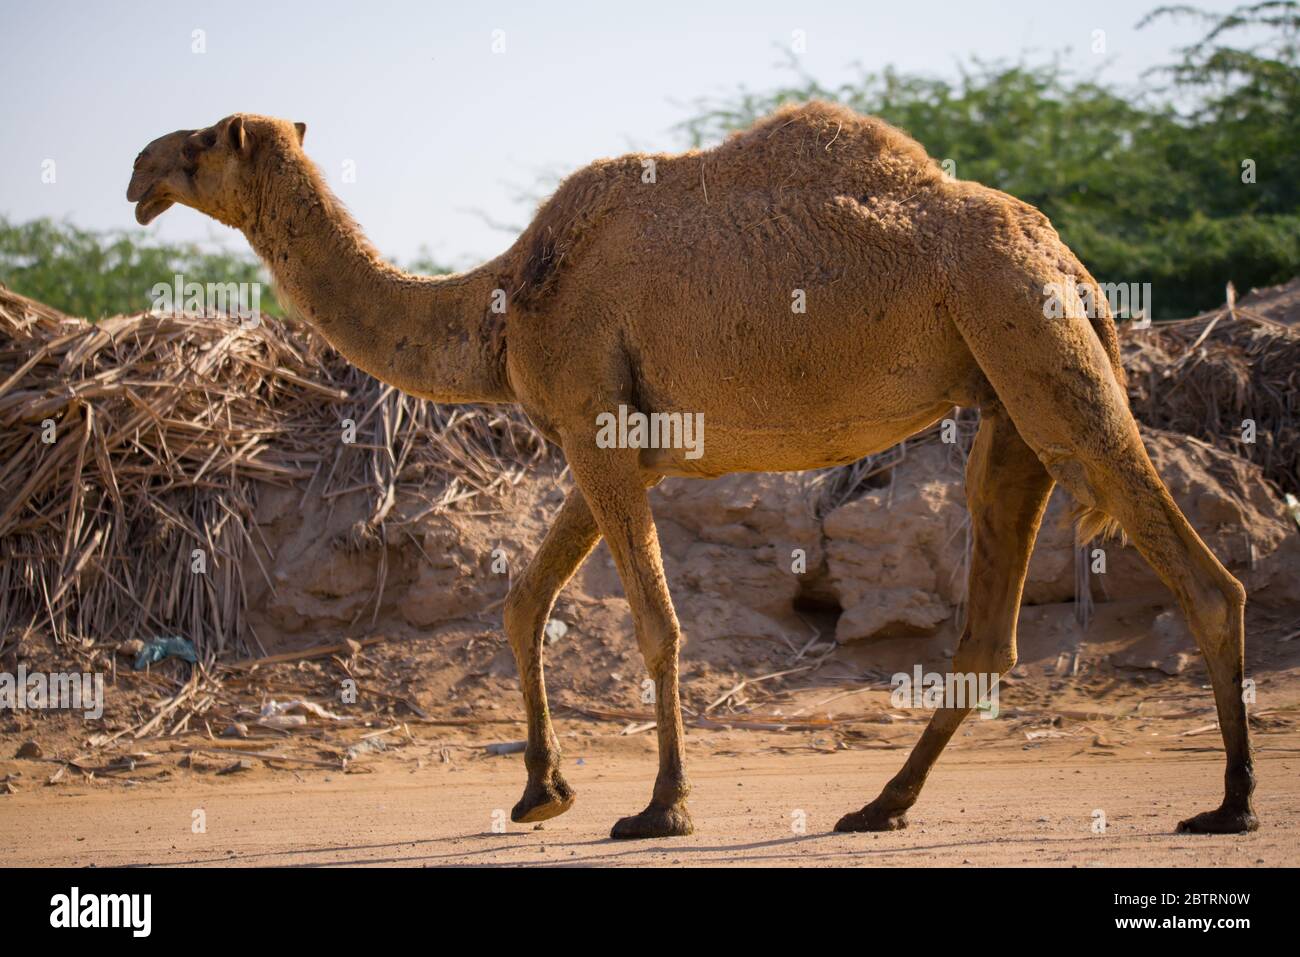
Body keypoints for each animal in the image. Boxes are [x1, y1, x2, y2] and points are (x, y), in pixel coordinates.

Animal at [127, 103, 1257, 839]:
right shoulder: (612, 443)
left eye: (202, 141)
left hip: (1032, 338)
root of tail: (1068, 260)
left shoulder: (594, 427)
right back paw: (877, 806)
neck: (503, 299)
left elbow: (656, 624)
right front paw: (541, 792)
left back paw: (1232, 802)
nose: (138, 173)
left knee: (1200, 573)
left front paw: (659, 806)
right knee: (988, 631)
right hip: (1009, 389)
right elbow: (523, 602)